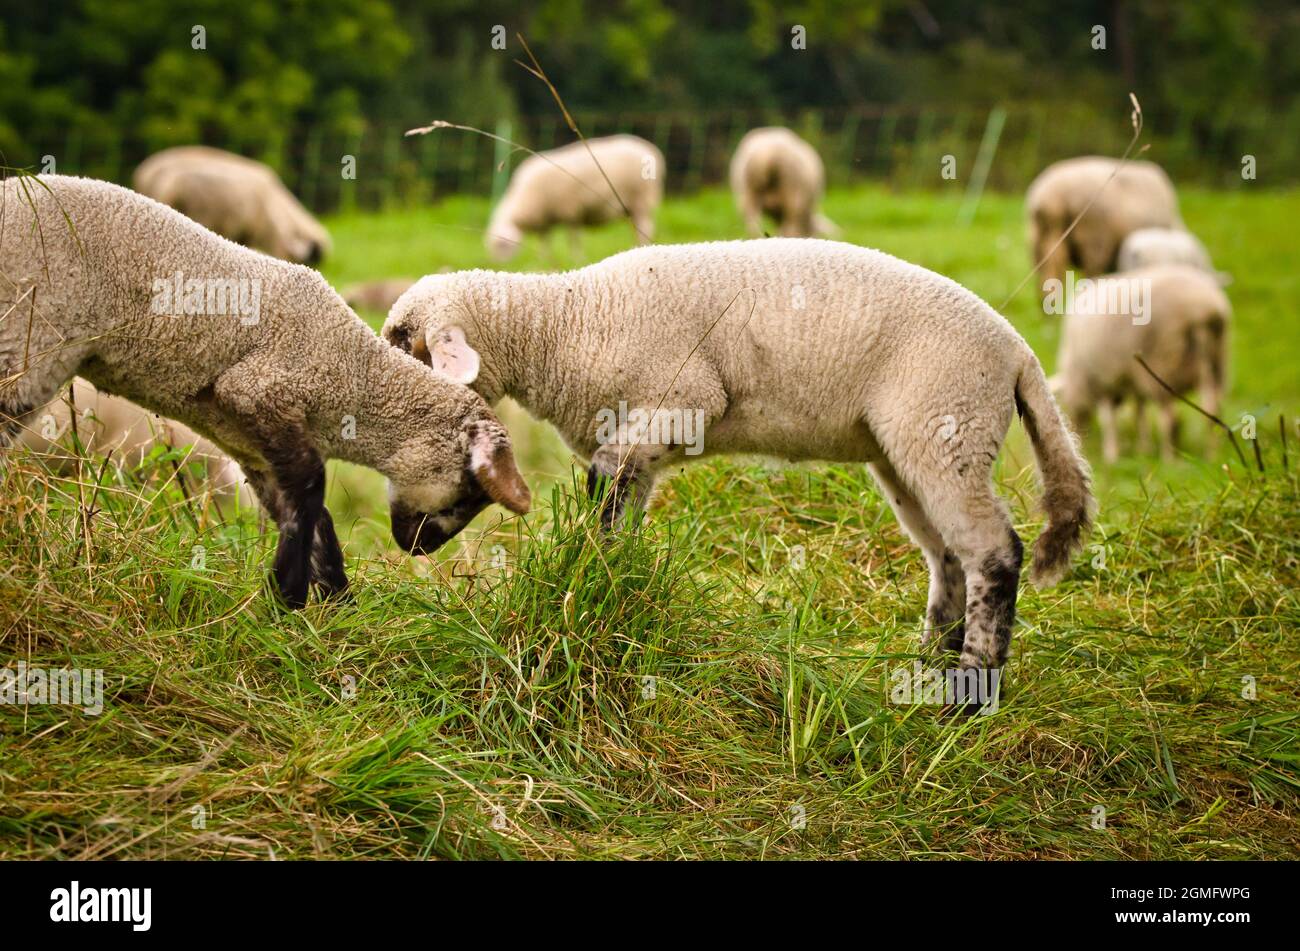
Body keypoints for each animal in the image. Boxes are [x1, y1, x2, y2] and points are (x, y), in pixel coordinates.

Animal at [383, 239, 1093, 674]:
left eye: (403, 340)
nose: (407, 544)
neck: (561, 328)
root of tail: (1020, 355)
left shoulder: (681, 403)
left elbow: (603, 501)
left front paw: (586, 583)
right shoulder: (643, 446)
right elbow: (619, 517)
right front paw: (609, 588)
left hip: (947, 426)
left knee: (993, 552)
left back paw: (968, 689)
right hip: (909, 451)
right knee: (947, 556)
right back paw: (928, 664)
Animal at [485, 135, 664, 262]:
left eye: (502, 245)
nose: (497, 263)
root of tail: (652, 150)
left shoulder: (571, 212)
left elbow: (573, 239)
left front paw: (577, 258)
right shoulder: (545, 220)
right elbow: (544, 241)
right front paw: (543, 259)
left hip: (641, 200)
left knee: (646, 228)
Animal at [1051, 264, 1231, 463]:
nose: (1079, 439)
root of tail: (1204, 308)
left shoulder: (1103, 381)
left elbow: (1108, 420)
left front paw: (1111, 455)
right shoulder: (1132, 379)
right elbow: (1139, 411)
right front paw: (1143, 450)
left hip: (1162, 365)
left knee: (1171, 419)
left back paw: (1170, 460)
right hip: (1216, 361)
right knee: (1213, 411)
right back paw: (1213, 456)